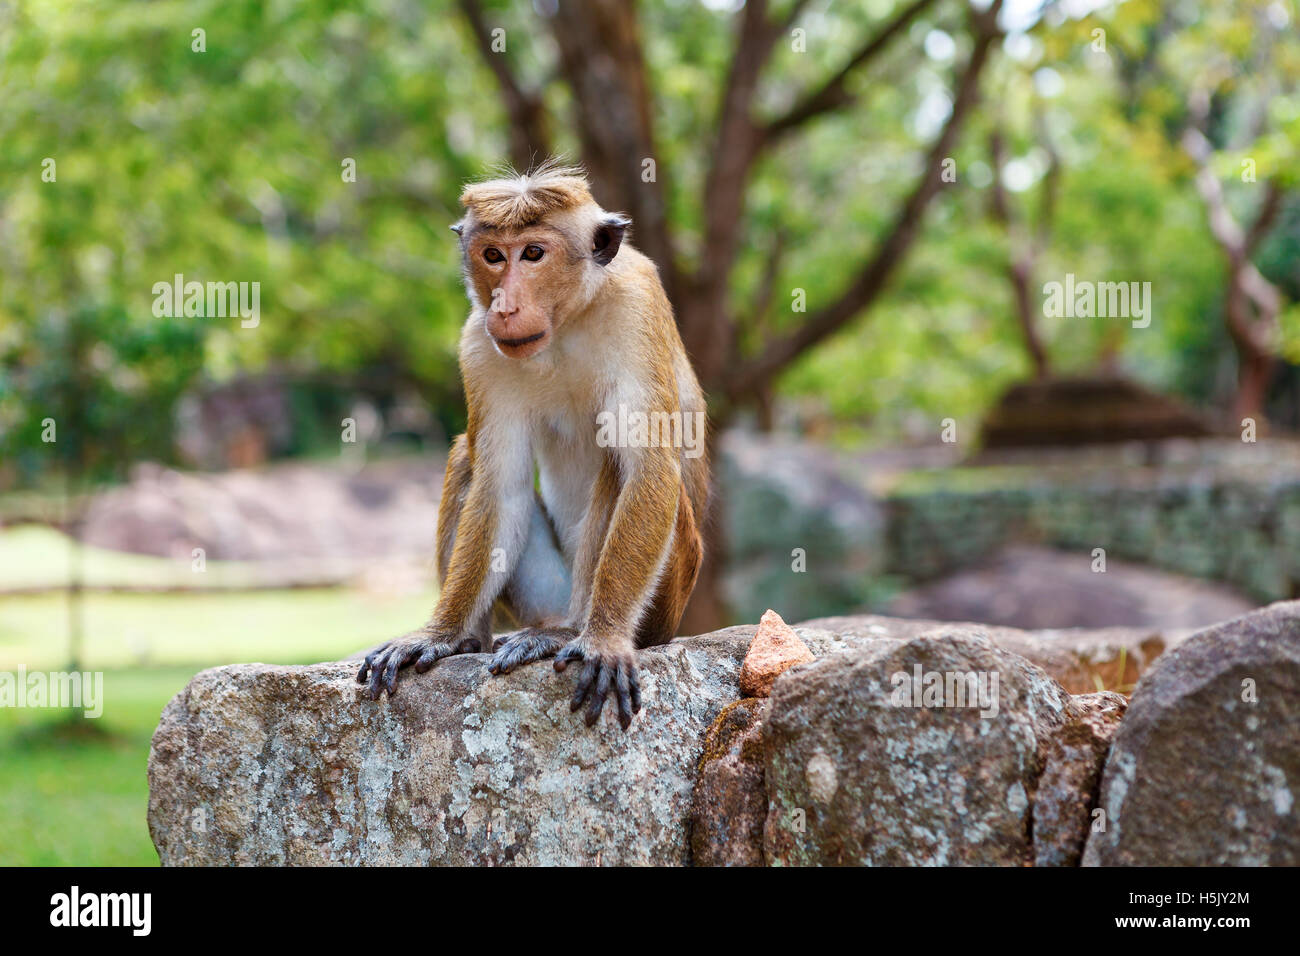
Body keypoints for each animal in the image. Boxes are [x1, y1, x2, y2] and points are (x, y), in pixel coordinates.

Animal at [356, 162, 708, 730]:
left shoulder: (637, 306)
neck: (567, 322)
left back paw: (571, 633)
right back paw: (475, 638)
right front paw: (439, 634)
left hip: (667, 599)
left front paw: (605, 640)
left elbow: (647, 468)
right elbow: (500, 484)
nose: (504, 303)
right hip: (545, 591)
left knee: (618, 465)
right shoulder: (479, 345)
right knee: (468, 456)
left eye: (534, 254)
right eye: (493, 255)